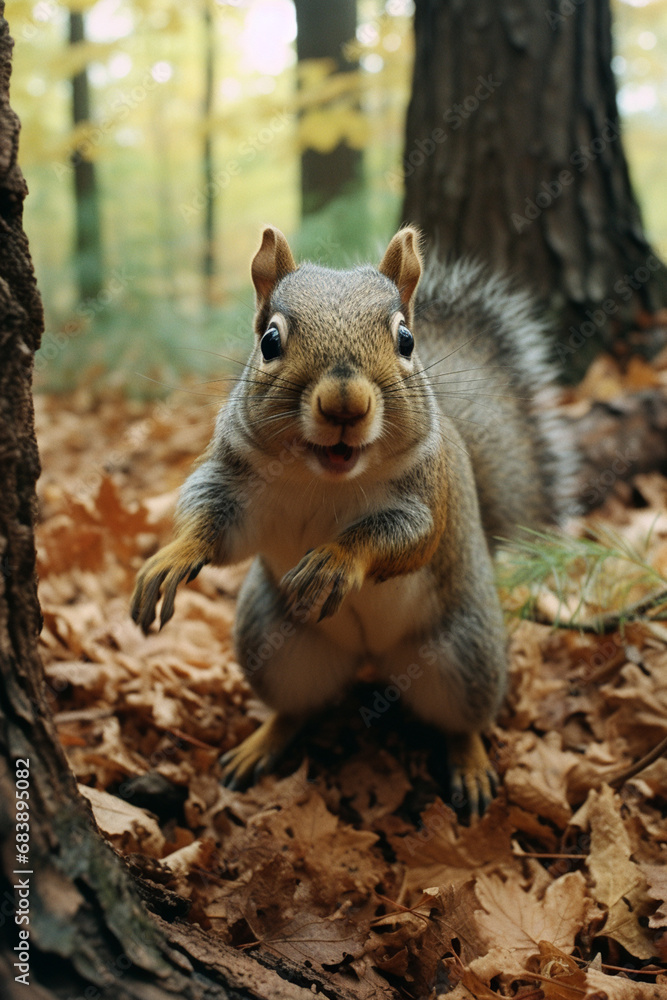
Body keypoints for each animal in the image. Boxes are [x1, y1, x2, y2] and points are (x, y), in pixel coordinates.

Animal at [131, 225, 575, 815]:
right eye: (269, 341)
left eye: (406, 340)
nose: (345, 403)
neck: (326, 477)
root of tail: (372, 658)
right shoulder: (234, 481)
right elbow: (215, 521)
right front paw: (175, 555)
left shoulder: (424, 498)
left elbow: (407, 538)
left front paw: (335, 561)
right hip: (272, 642)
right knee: (295, 707)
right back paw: (261, 743)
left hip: (466, 652)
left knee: (463, 719)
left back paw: (470, 761)